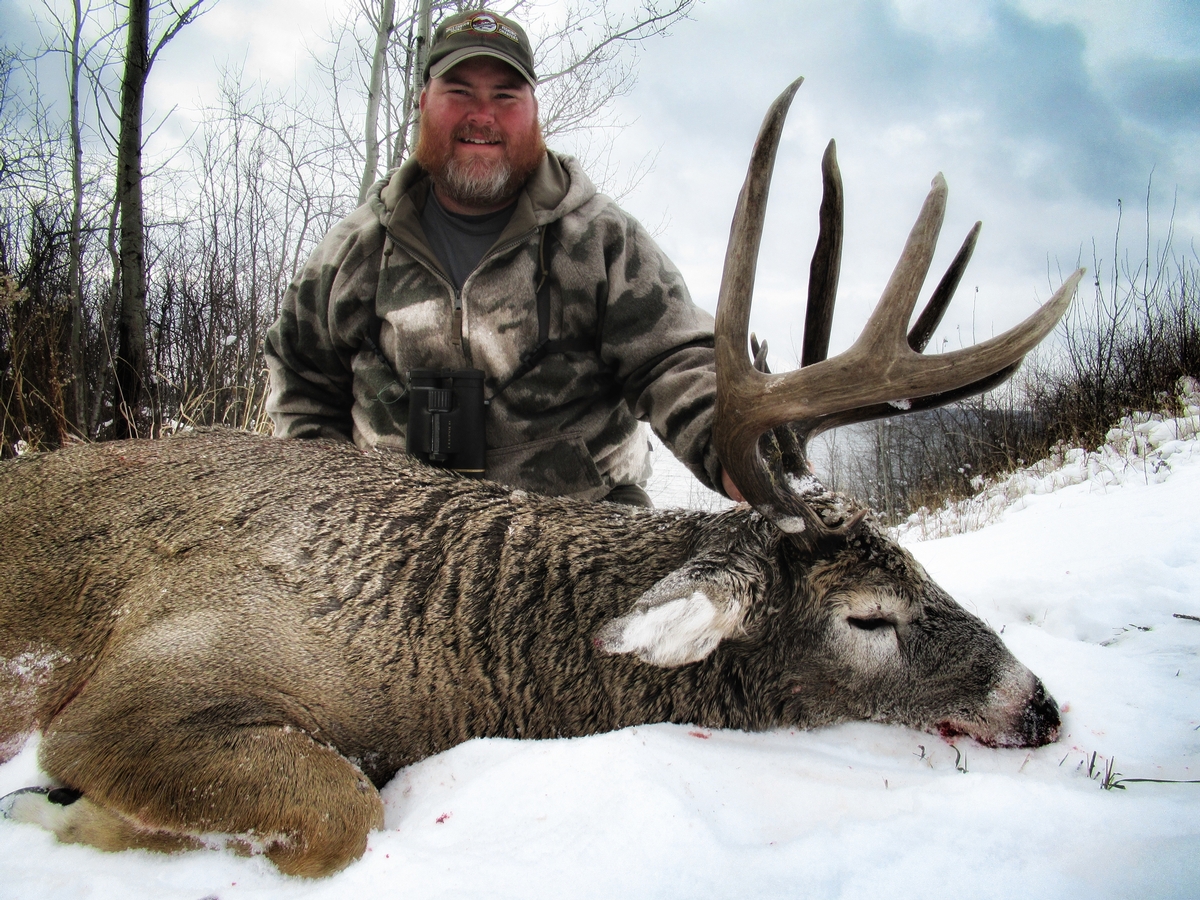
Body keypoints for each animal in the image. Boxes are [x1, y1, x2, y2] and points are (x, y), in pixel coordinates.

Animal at [0, 79, 1081, 878]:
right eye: (868, 616)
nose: (1039, 703)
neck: (439, 627)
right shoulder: (141, 688)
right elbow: (342, 808)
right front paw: (54, 813)